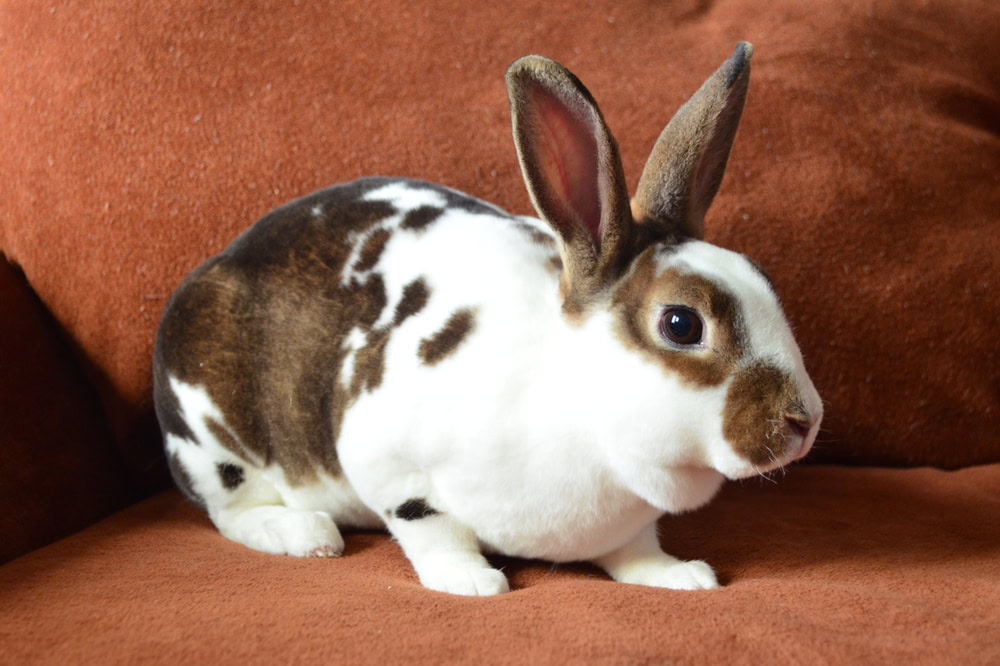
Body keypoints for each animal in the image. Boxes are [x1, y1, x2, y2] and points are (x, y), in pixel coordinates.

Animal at [153, 42, 823, 596]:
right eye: (682, 324)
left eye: (763, 280)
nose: (805, 420)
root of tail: (212, 269)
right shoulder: (387, 458)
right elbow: (431, 527)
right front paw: (472, 581)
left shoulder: (627, 529)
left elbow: (635, 551)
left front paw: (680, 576)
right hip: (216, 444)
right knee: (233, 512)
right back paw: (306, 535)